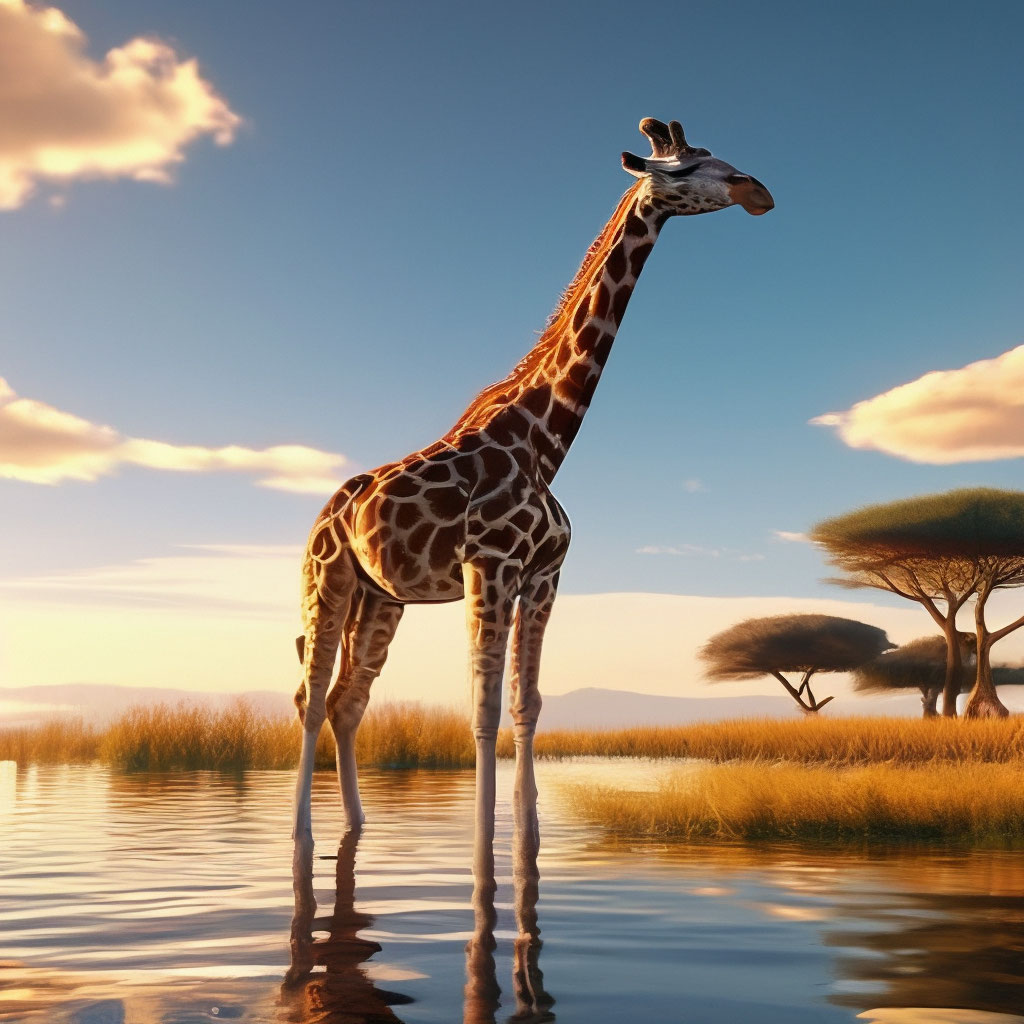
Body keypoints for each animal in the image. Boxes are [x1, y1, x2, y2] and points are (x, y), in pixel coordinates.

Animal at [292, 117, 774, 875]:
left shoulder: (544, 575)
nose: (759, 192)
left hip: (384, 598)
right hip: (328, 577)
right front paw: (483, 857)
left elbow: (528, 704)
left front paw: (530, 843)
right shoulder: (490, 565)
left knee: (349, 700)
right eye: (687, 167)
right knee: (310, 697)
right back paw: (303, 839)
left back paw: (357, 828)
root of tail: (325, 511)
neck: (545, 441)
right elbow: (484, 708)